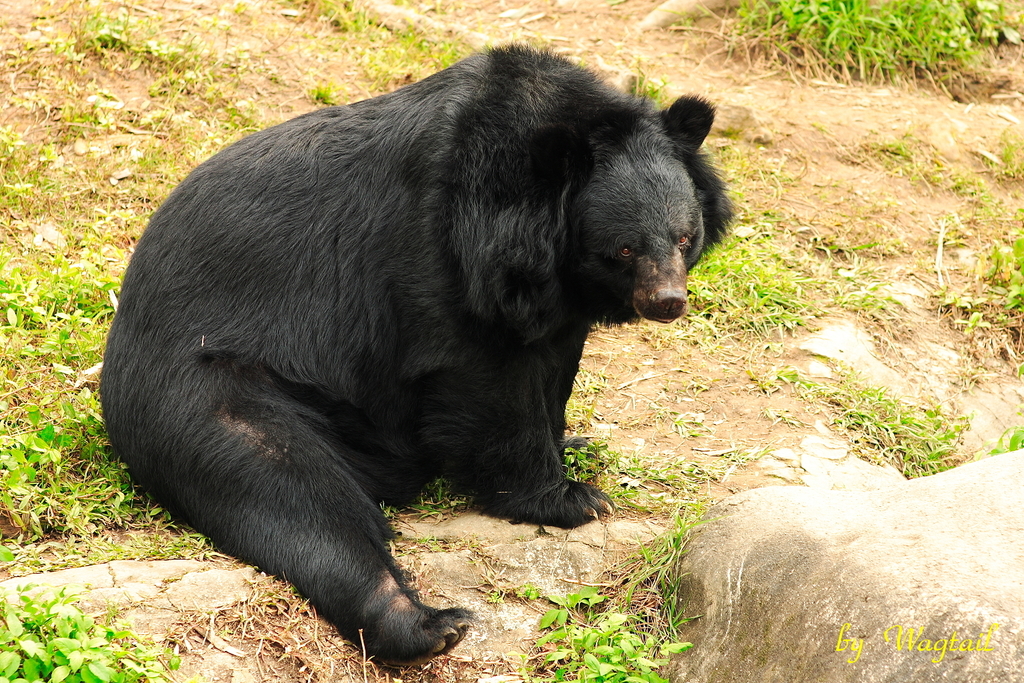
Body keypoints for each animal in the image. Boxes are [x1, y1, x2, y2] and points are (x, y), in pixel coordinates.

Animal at [100, 45, 731, 665]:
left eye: (684, 237)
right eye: (623, 249)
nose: (667, 301)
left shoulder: (556, 298)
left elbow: (554, 371)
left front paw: (572, 445)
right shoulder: (441, 256)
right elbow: (487, 382)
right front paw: (569, 499)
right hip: (214, 395)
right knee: (294, 493)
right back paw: (430, 625)